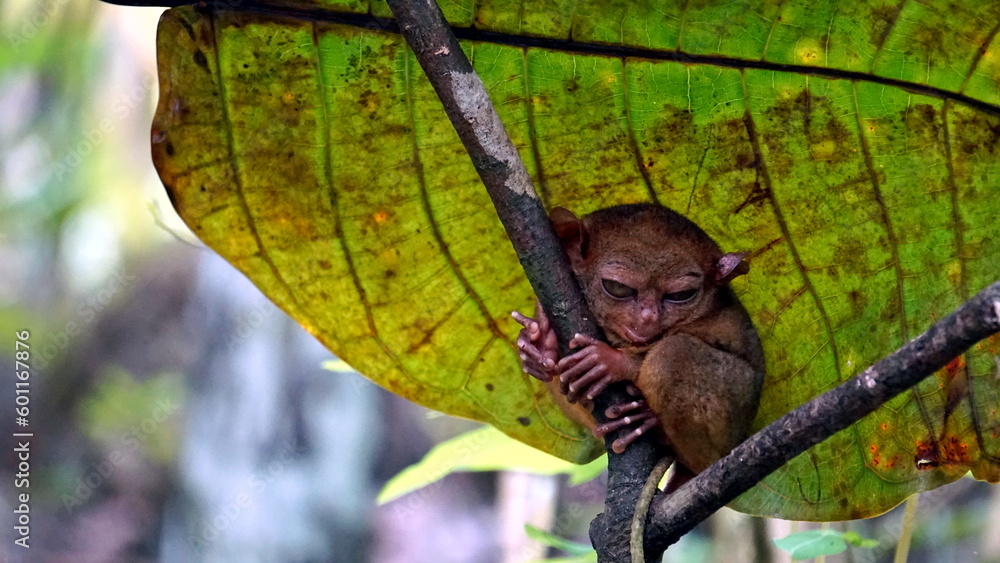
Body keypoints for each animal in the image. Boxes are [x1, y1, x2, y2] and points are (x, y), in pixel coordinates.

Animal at [513, 203, 764, 486]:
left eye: (681, 295)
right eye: (617, 288)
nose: (648, 317)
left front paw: (609, 362)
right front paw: (538, 345)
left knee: (675, 352)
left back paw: (650, 421)